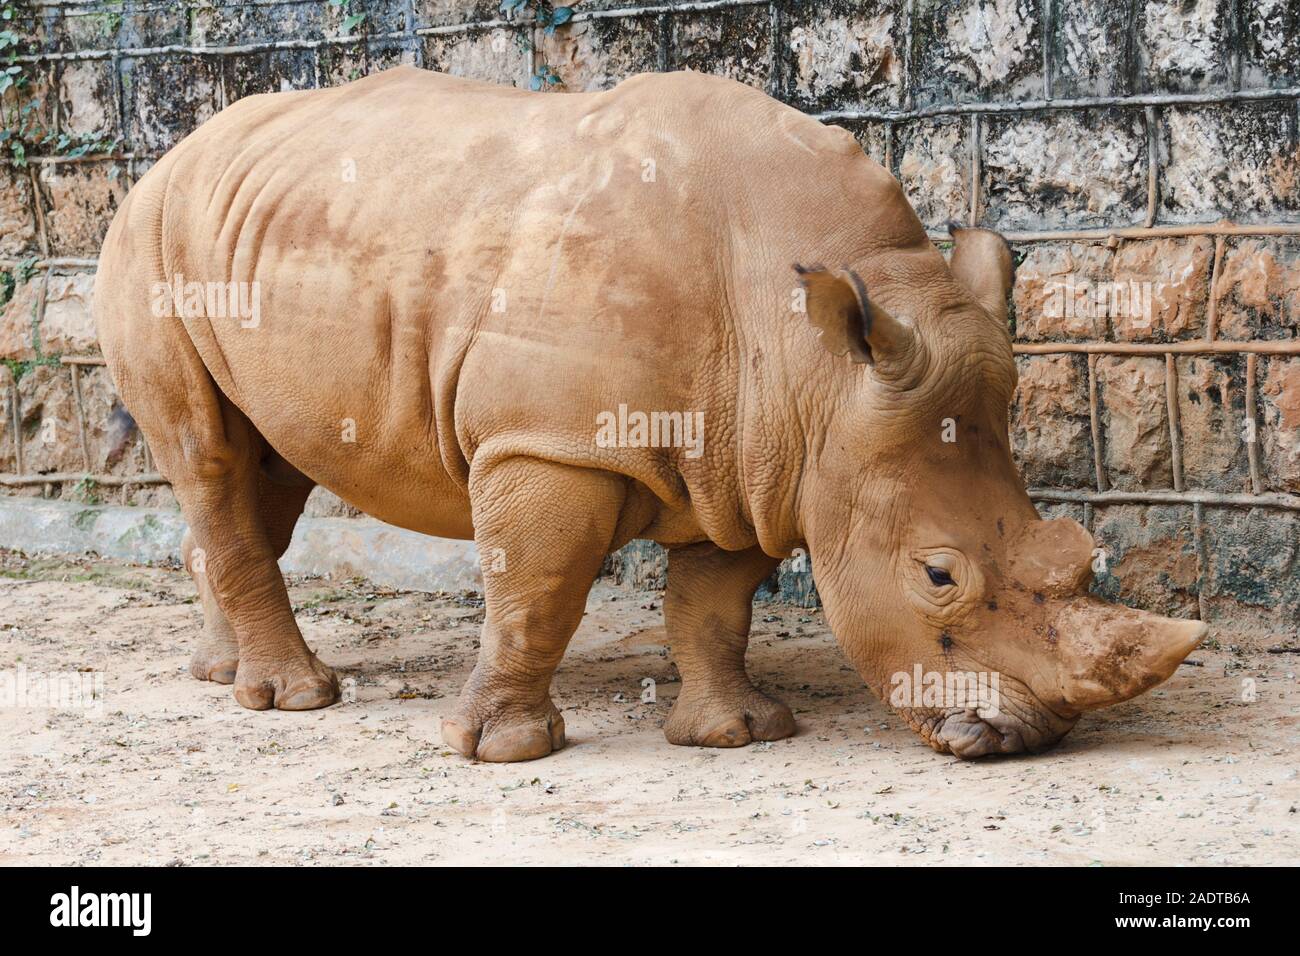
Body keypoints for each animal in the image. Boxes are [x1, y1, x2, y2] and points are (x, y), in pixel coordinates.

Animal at [94, 67, 1204, 762]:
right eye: (938, 577)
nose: (1033, 738)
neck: (805, 356)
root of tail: (170, 154)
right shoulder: (550, 443)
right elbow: (536, 590)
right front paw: (502, 749)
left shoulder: (756, 453)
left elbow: (714, 604)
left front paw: (740, 732)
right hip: (148, 239)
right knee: (209, 457)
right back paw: (293, 699)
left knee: (263, 469)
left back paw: (220, 674)